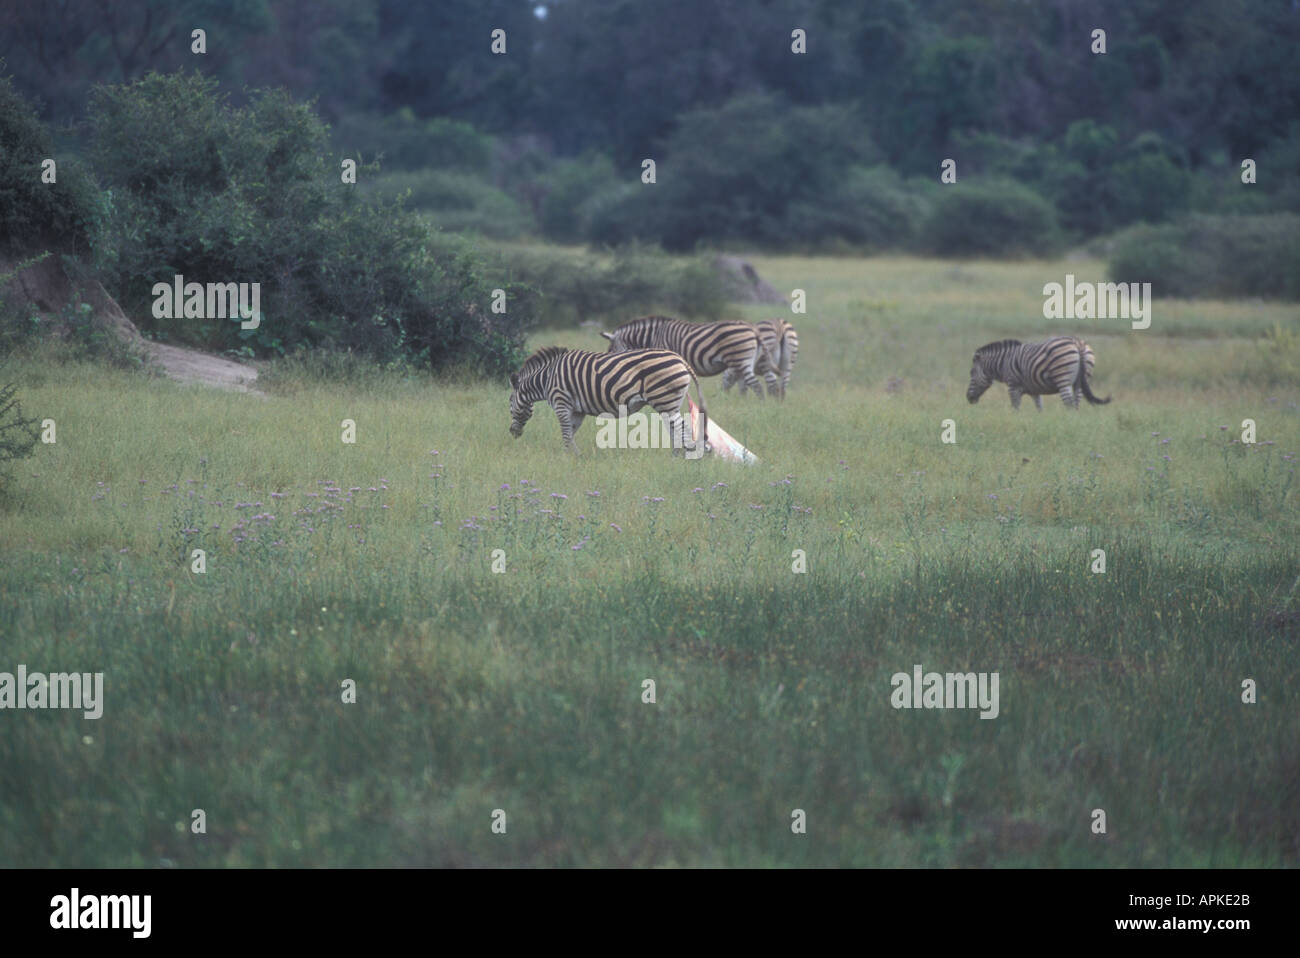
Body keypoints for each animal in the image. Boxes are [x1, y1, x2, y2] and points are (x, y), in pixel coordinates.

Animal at [509, 346, 707, 454]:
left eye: (510, 404)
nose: (512, 433)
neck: (546, 379)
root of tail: (680, 358)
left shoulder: (561, 402)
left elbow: (565, 432)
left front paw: (566, 457)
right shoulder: (577, 410)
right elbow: (571, 432)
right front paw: (574, 456)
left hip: (665, 399)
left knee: (682, 428)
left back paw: (684, 456)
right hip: (670, 402)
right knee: (675, 428)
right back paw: (676, 455)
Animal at [601, 316, 764, 398]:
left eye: (611, 350)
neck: (653, 336)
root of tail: (753, 329)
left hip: (739, 358)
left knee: (756, 385)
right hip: (743, 360)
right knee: (744, 385)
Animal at [966, 336, 1112, 410]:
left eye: (971, 373)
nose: (968, 398)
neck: (1003, 363)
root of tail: (1078, 343)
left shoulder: (1013, 386)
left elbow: (1015, 408)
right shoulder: (1034, 390)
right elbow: (1039, 407)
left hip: (1062, 378)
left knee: (1069, 404)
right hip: (1081, 380)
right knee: (1076, 403)